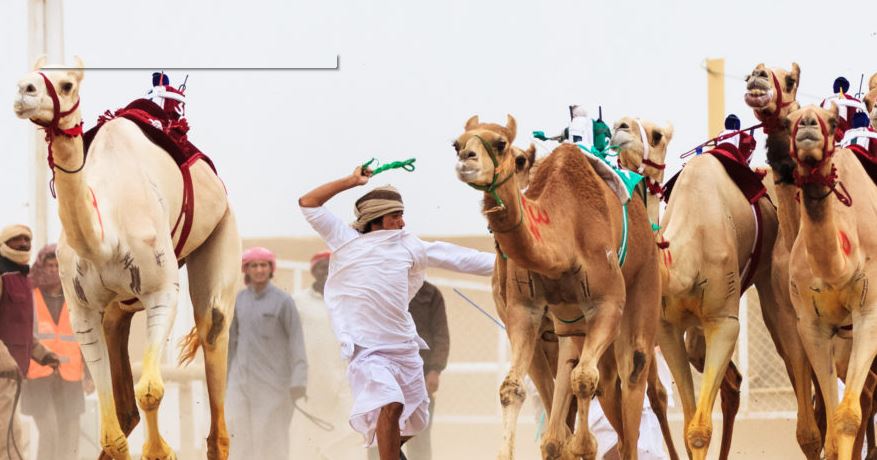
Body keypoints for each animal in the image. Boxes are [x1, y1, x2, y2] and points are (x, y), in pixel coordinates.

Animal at [12, 58, 240, 460]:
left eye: (67, 84)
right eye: (28, 76)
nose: (25, 92)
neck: (106, 237)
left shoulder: (161, 291)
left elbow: (150, 390)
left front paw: (160, 451)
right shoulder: (82, 310)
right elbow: (112, 434)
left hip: (222, 228)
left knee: (214, 327)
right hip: (120, 304)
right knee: (122, 389)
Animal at [453, 115, 660, 460]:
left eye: (501, 143)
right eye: (456, 144)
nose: (466, 160)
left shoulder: (606, 303)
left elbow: (583, 380)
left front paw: (584, 445)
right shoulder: (525, 313)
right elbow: (512, 388)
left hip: (644, 282)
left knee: (633, 375)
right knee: (605, 391)